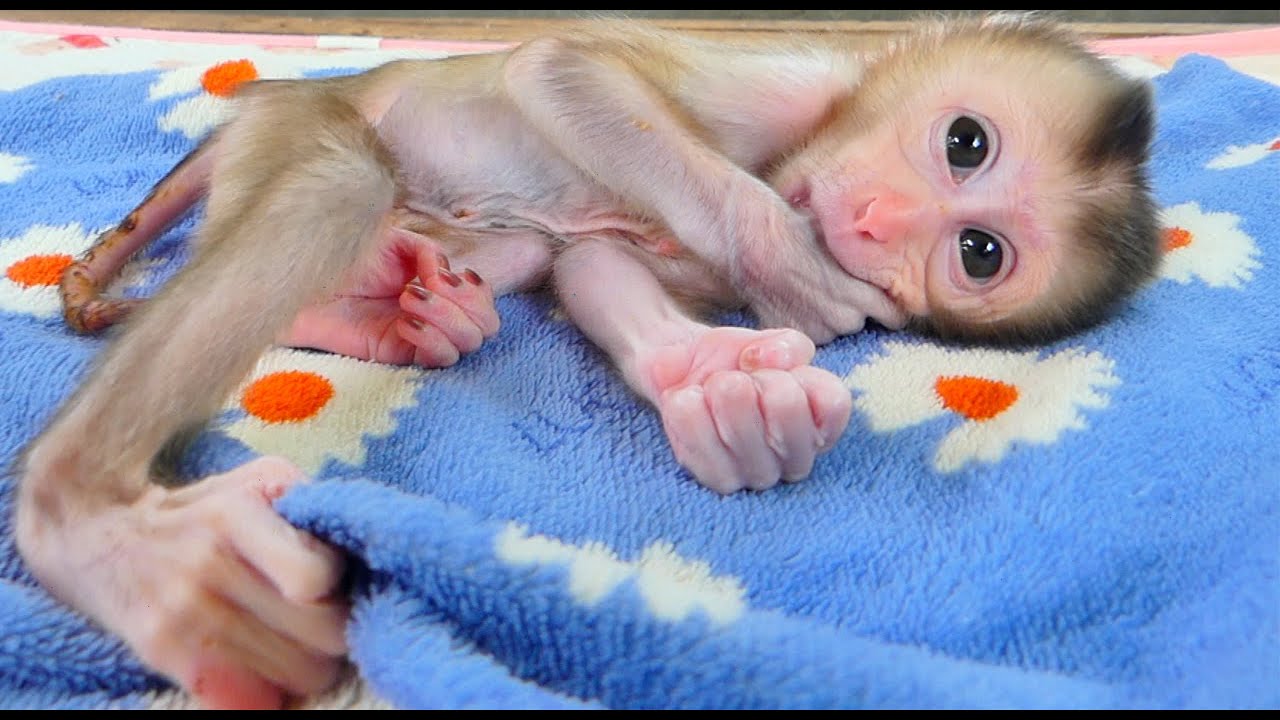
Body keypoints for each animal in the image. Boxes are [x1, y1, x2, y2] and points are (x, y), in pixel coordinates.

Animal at [12, 13, 1160, 710]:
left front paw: (722, 390)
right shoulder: (798, 86)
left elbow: (598, 267)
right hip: (303, 125)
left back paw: (383, 320)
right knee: (340, 178)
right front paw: (783, 258)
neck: (798, 155)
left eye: (977, 254)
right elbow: (555, 71)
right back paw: (91, 524)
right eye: (964, 142)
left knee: (509, 250)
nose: (877, 222)